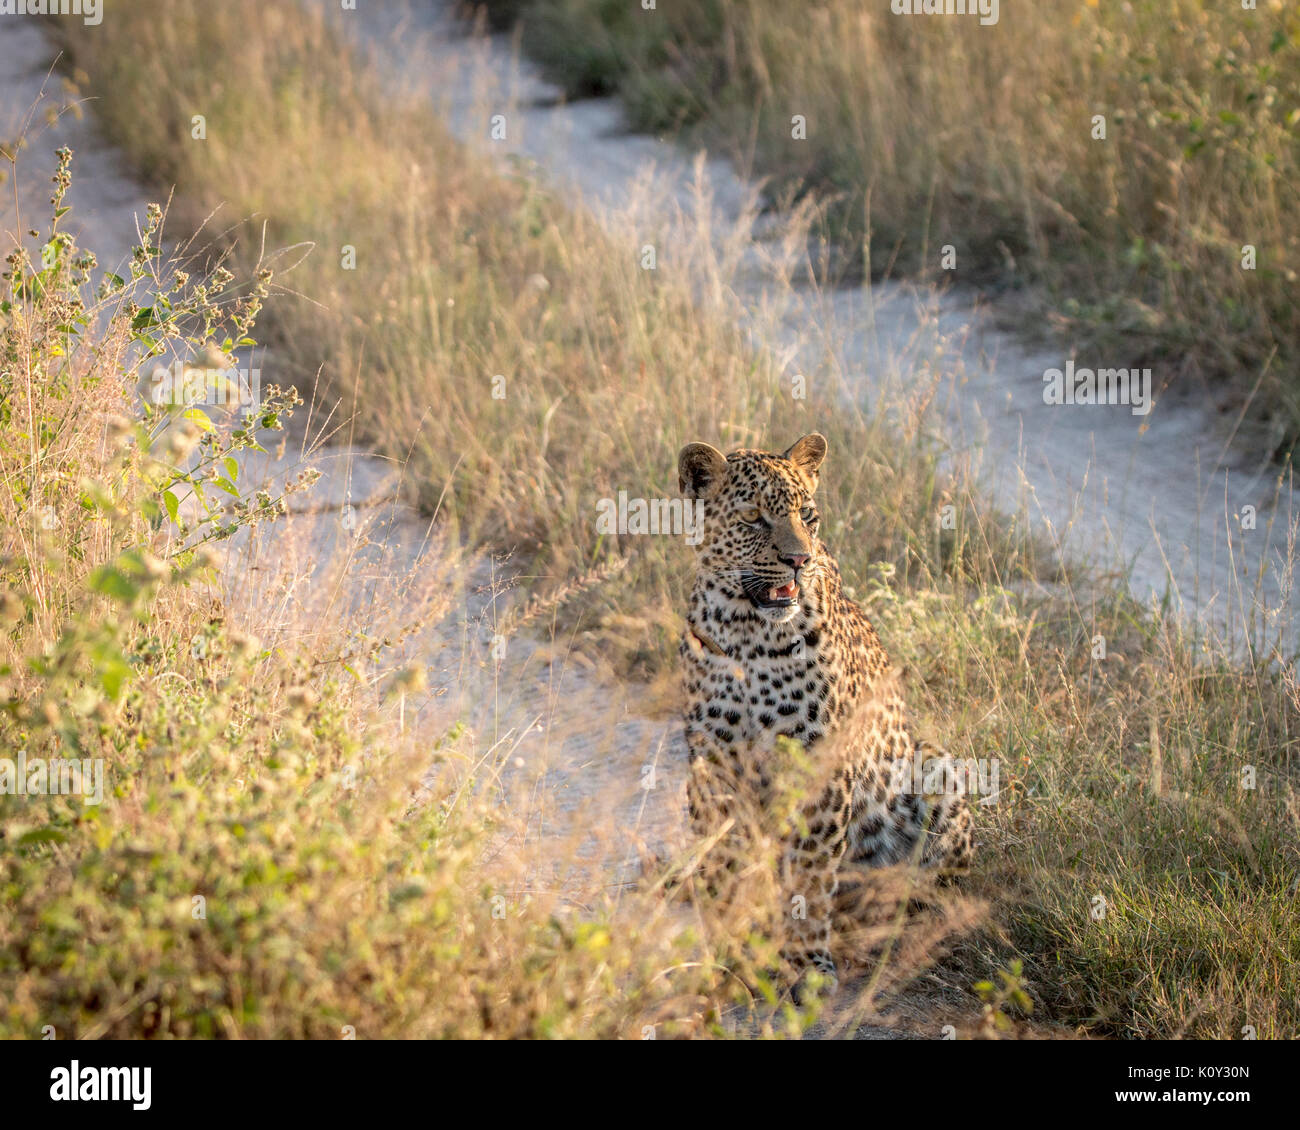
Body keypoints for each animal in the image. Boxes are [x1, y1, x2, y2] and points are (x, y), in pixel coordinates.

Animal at [676, 433, 974, 995]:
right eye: (753, 517)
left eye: (808, 515)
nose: (799, 560)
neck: (749, 634)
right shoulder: (713, 765)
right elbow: (724, 863)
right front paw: (724, 950)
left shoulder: (820, 770)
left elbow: (810, 879)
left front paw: (809, 963)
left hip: (936, 768)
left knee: (930, 889)